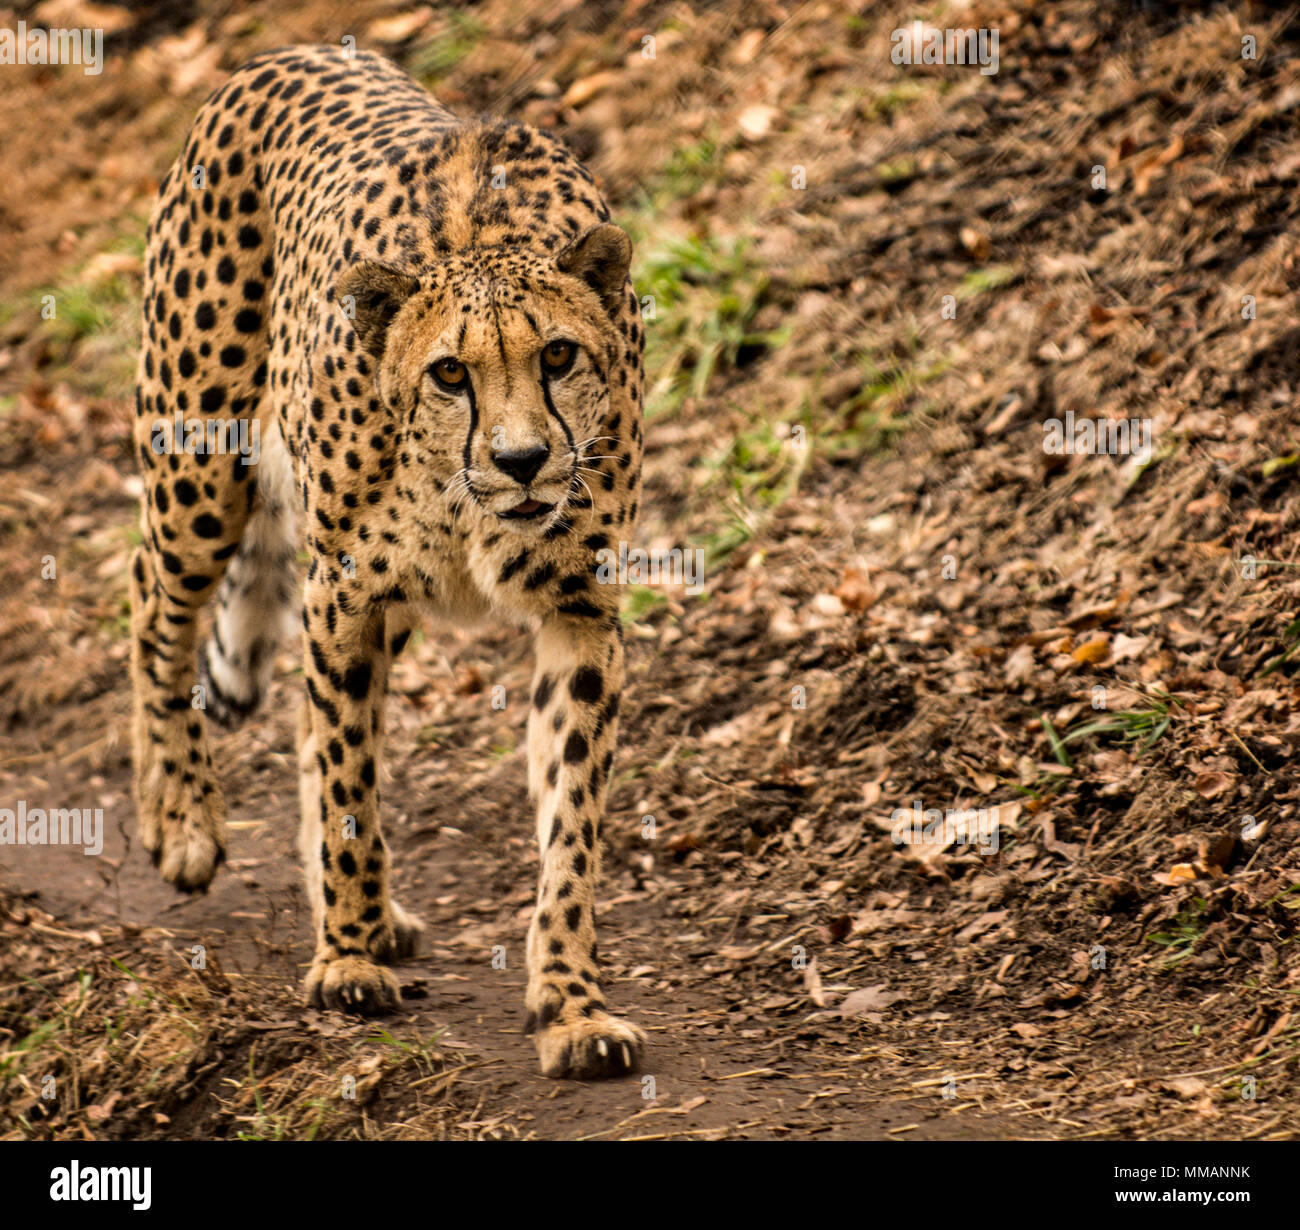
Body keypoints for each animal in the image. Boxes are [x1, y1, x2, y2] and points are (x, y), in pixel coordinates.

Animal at [128, 44, 646, 1080]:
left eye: (559, 356)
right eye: (450, 373)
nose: (523, 460)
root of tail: (282, 54)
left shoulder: (578, 611)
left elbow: (570, 824)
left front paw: (571, 1004)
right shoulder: (345, 594)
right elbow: (348, 785)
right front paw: (348, 958)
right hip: (197, 469)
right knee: (152, 612)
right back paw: (184, 821)